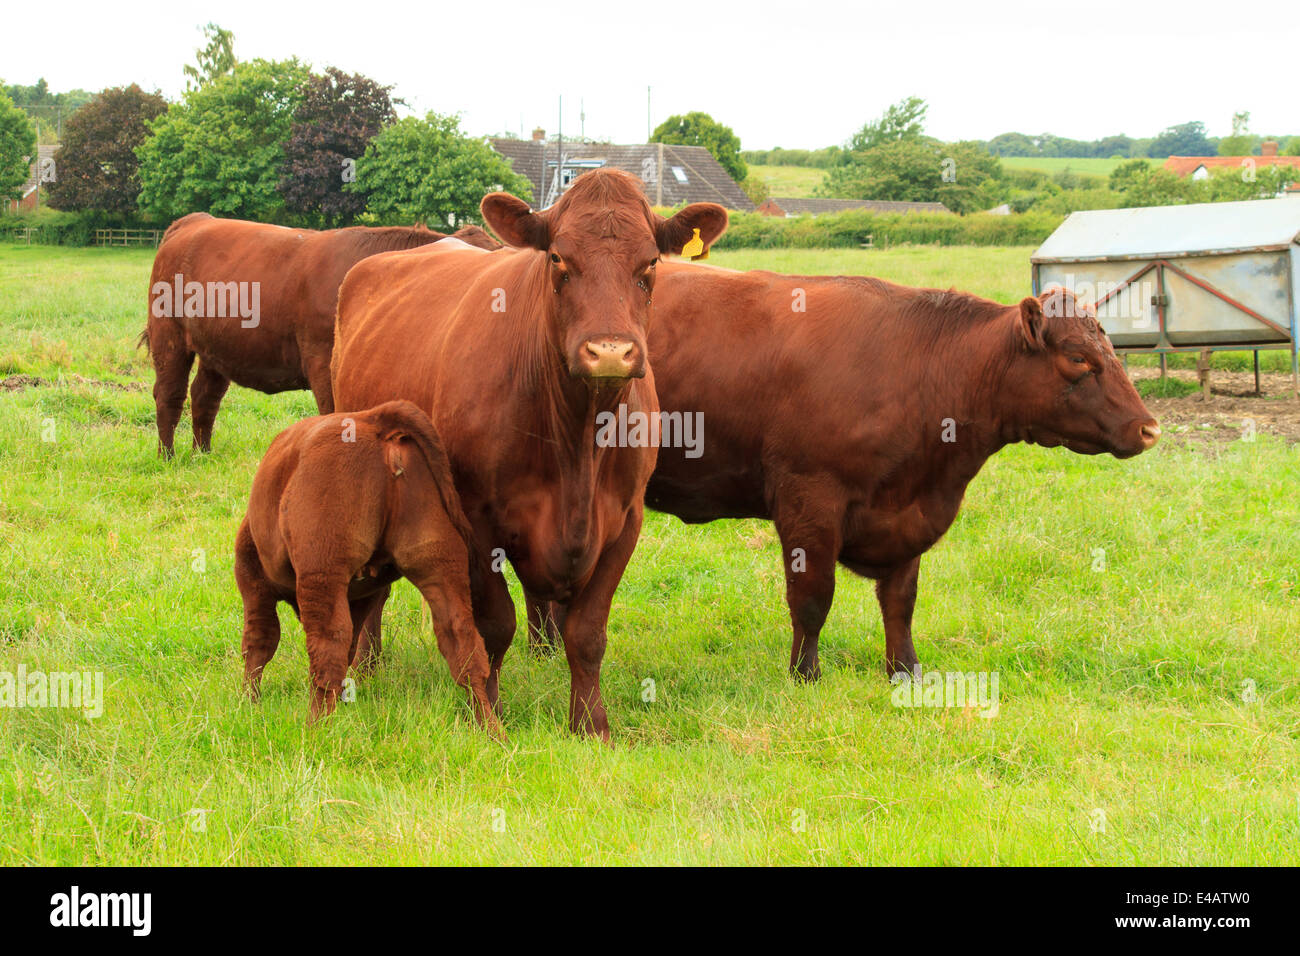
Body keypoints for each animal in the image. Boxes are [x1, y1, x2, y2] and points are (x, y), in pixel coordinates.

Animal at [142, 213, 501, 457]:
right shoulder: (323, 361)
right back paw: (168, 457)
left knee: (204, 396)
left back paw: (202, 454)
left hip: (216, 347)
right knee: (170, 394)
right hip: (168, 333)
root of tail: (194, 220)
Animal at [236, 399, 499, 733]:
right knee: (463, 641)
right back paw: (491, 730)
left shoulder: (253, 583)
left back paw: (315, 727)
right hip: (439, 564)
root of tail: (376, 423)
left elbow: (258, 641)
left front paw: (249, 701)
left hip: (322, 572)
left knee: (327, 648)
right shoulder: (362, 596)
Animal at [331, 169, 728, 738]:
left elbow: (587, 633)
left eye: (651, 261)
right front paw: (487, 714)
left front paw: (590, 724)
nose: (610, 352)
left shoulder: (625, 519)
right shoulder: (474, 518)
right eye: (558, 258)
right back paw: (365, 664)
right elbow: (495, 625)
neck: (578, 439)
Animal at [540, 264, 1160, 682]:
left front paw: (905, 670)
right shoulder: (808, 498)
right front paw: (805, 674)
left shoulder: (908, 511)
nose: (1149, 428)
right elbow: (813, 596)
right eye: (1078, 360)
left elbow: (901, 601)